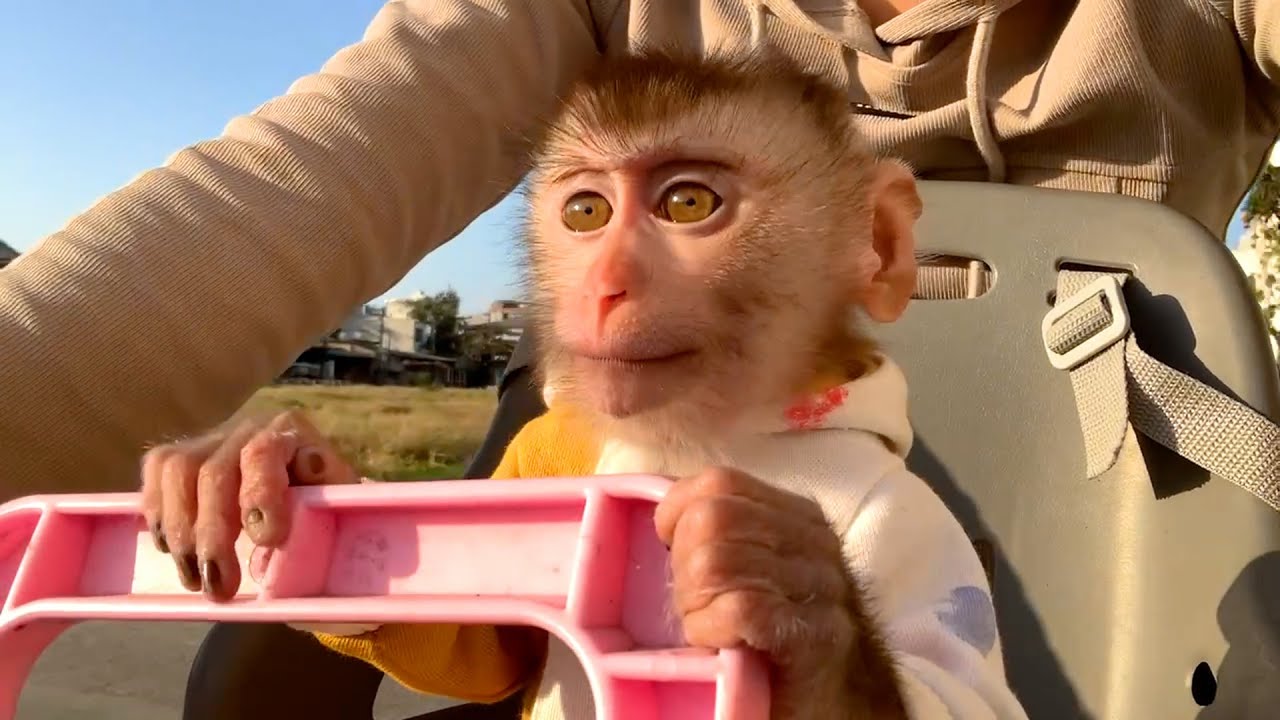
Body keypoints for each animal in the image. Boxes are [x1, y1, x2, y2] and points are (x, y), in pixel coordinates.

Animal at [139, 50, 1028, 720]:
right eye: (587, 213)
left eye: (689, 202)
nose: (603, 286)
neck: (700, 436)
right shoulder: (542, 444)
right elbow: (483, 648)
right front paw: (267, 466)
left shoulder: (909, 519)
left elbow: (966, 697)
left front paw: (793, 599)